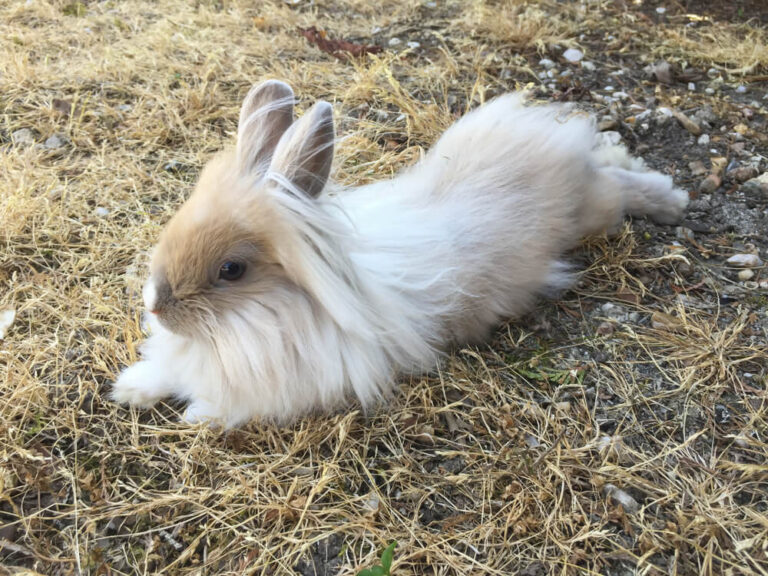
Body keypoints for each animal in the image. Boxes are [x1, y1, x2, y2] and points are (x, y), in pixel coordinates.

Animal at [111, 80, 688, 428]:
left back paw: (671, 200)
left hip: (593, 209)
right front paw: (130, 390)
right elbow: (164, 372)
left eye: (231, 270)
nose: (157, 306)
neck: (250, 325)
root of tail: (553, 138)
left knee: (618, 184)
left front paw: (196, 416)